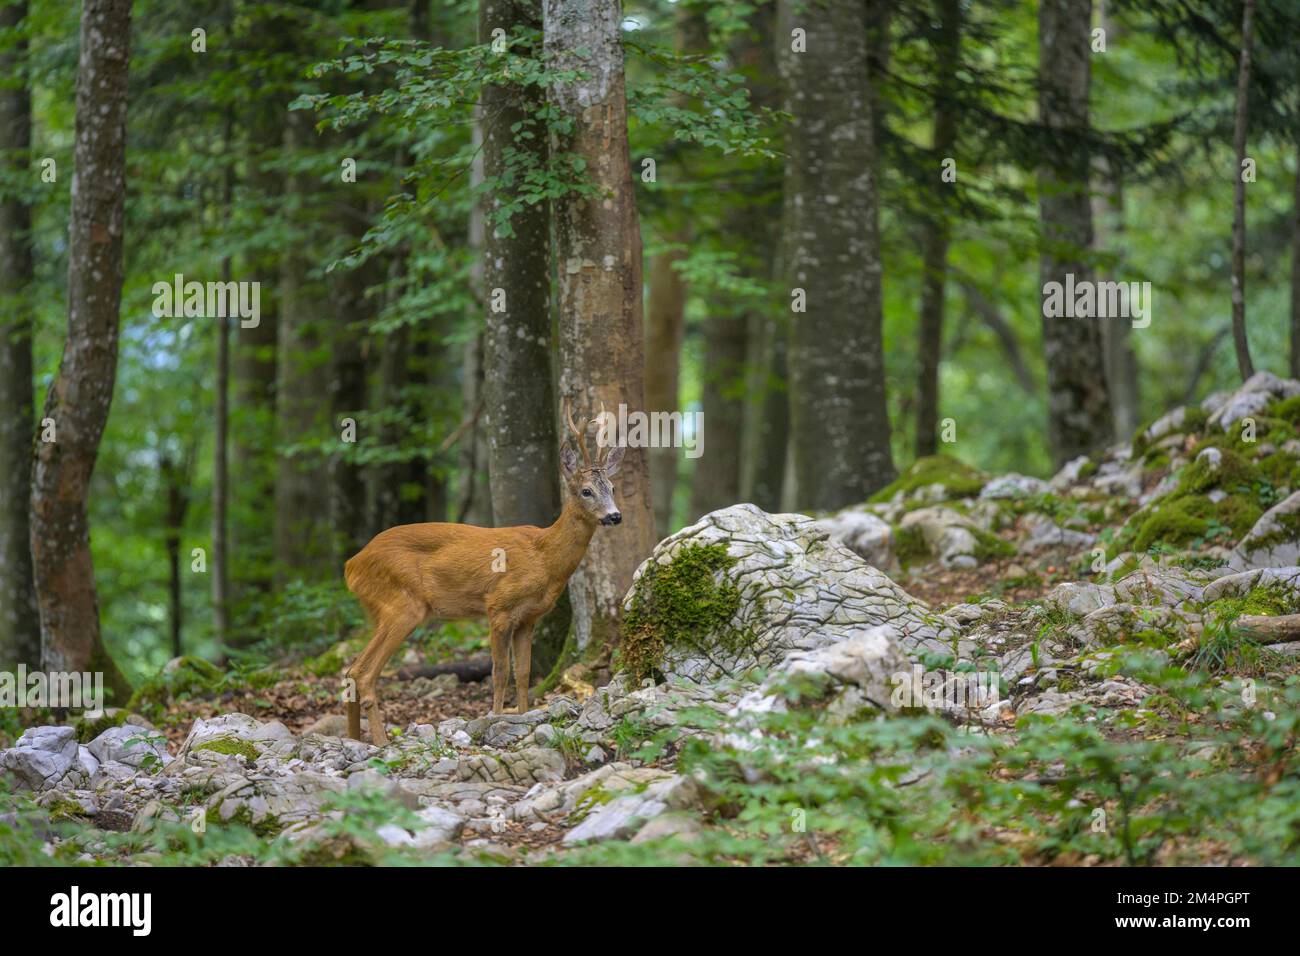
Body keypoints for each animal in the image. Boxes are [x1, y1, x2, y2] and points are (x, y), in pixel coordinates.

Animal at [342, 399, 625, 745]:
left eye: (612, 487)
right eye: (586, 491)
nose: (614, 516)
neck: (545, 558)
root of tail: (351, 565)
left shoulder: (529, 618)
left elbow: (523, 673)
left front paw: (523, 715)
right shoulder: (498, 606)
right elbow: (499, 671)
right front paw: (496, 717)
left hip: (383, 607)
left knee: (352, 670)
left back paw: (355, 739)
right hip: (402, 604)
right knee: (364, 672)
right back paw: (381, 742)